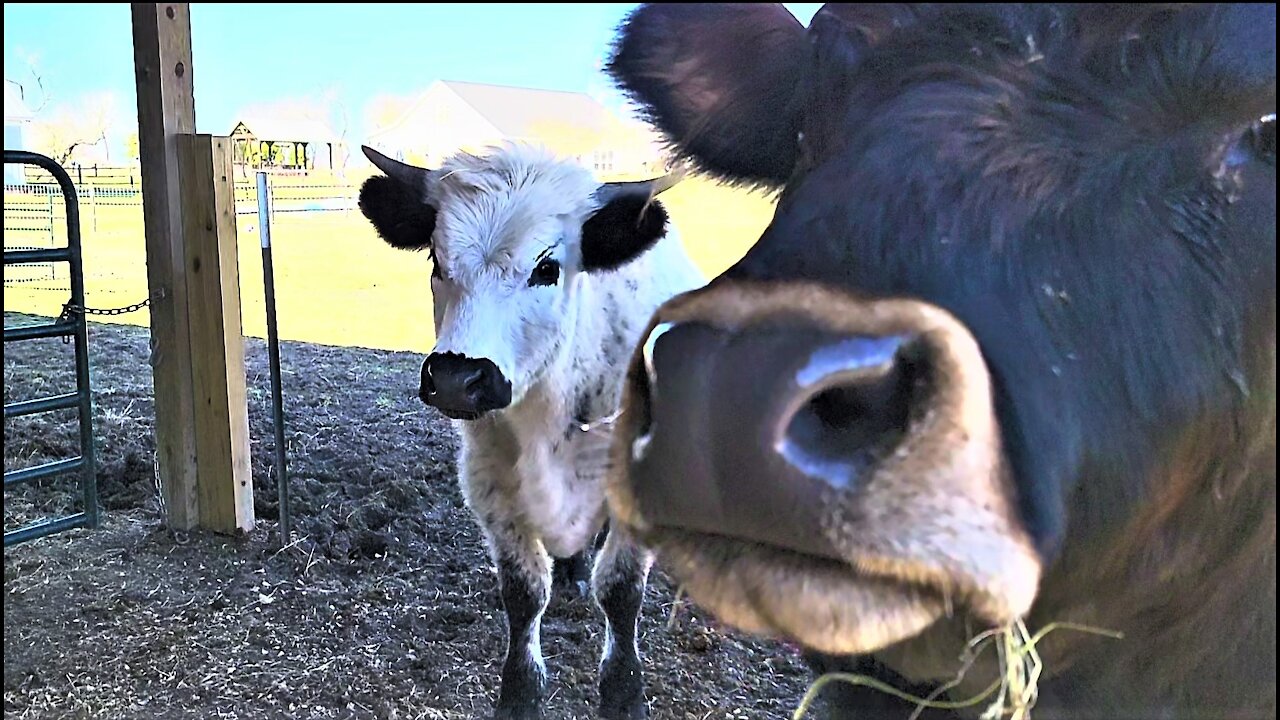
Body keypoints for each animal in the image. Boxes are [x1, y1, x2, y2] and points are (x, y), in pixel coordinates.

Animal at [357, 142, 703, 719]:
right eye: (436, 261)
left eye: (546, 267)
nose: (455, 379)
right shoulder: (491, 485)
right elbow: (522, 594)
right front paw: (519, 695)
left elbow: (621, 592)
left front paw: (624, 693)